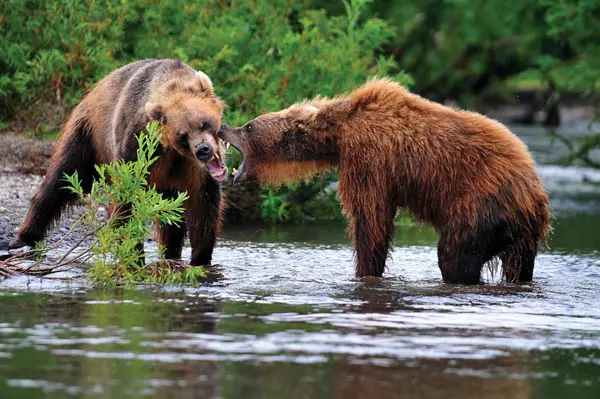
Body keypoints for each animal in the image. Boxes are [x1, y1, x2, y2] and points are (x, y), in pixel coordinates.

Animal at [9, 58, 230, 266]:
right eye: (182, 136)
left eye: (204, 123)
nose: (203, 150)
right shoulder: (138, 145)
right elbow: (126, 199)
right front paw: (134, 256)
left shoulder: (192, 169)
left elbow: (204, 203)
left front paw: (201, 258)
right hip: (88, 137)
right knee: (61, 181)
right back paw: (24, 238)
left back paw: (171, 254)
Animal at [218, 78, 552, 284]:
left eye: (249, 126)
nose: (223, 126)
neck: (339, 133)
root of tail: (534, 191)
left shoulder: (369, 158)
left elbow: (370, 219)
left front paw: (365, 271)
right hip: (522, 236)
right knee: (519, 266)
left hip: (480, 205)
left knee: (456, 256)